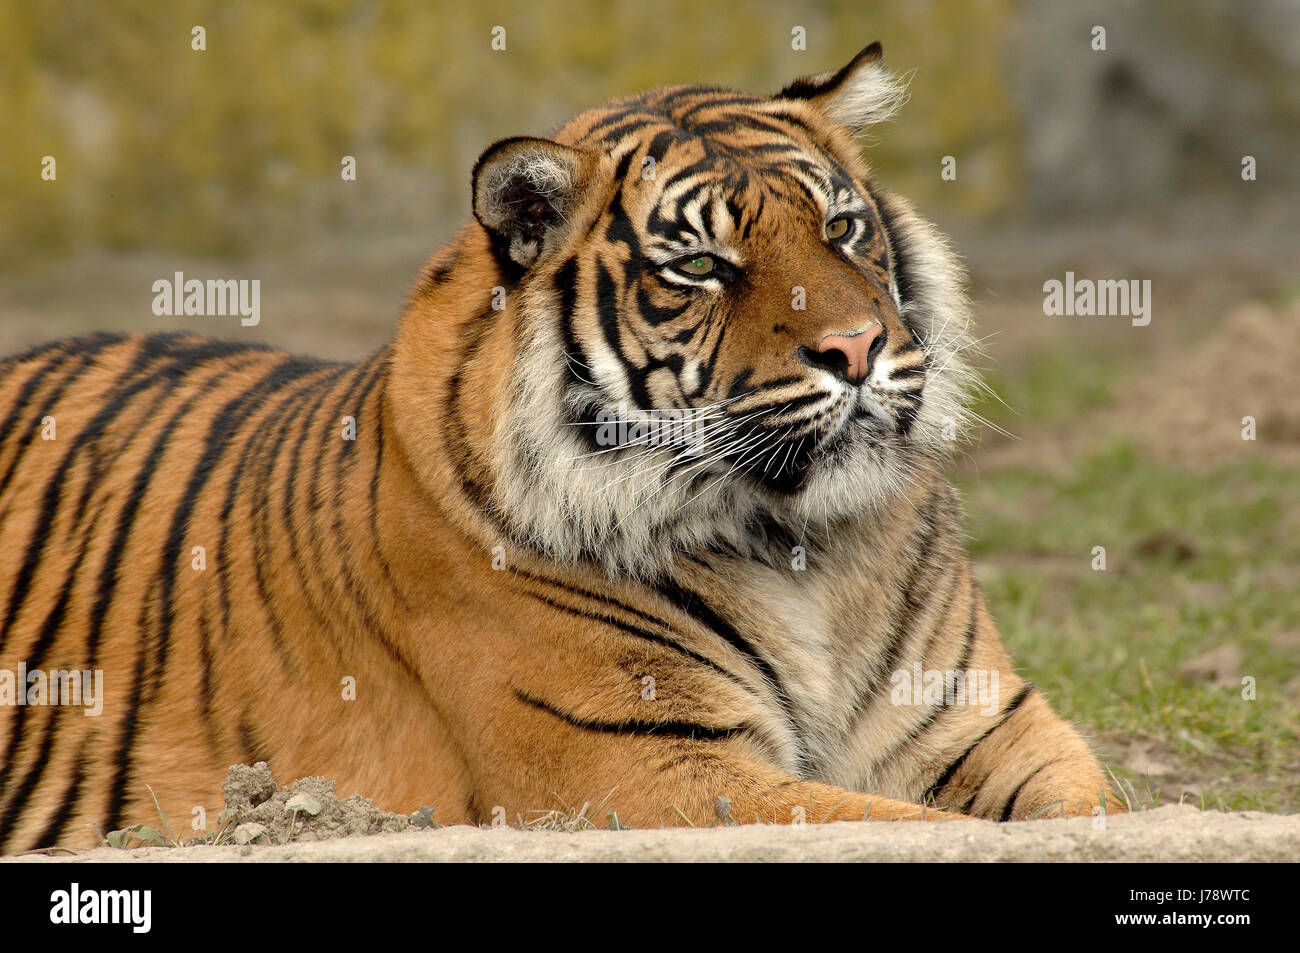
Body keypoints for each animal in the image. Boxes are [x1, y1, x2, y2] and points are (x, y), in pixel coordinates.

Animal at [0, 43, 1122, 853]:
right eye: (700, 266)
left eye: (841, 227)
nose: (857, 348)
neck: (803, 548)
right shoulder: (648, 768)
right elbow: (918, 827)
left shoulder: (983, 720)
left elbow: (1097, 808)